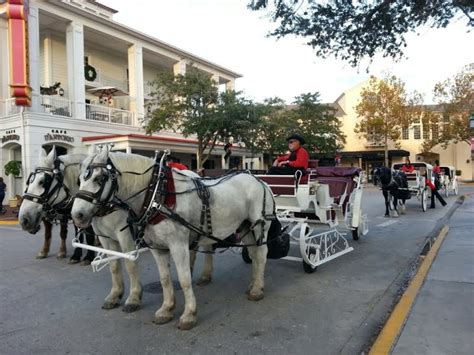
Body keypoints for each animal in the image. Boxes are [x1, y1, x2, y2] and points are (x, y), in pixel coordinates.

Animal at [18, 148, 143, 314]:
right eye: (29, 181)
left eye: (43, 181)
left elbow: (88, 238)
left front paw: (87, 257)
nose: (24, 219)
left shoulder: (122, 232)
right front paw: (74, 256)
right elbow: (71, 234)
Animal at [72, 149, 276, 330]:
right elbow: (164, 279)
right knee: (254, 253)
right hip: (245, 226)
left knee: (261, 254)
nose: (77, 215)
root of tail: (260, 180)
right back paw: (254, 284)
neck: (157, 195)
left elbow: (184, 279)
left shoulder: (178, 245)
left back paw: (257, 289)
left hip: (260, 225)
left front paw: (189, 314)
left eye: (99, 179)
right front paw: (166, 309)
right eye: (80, 179)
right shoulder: (156, 247)